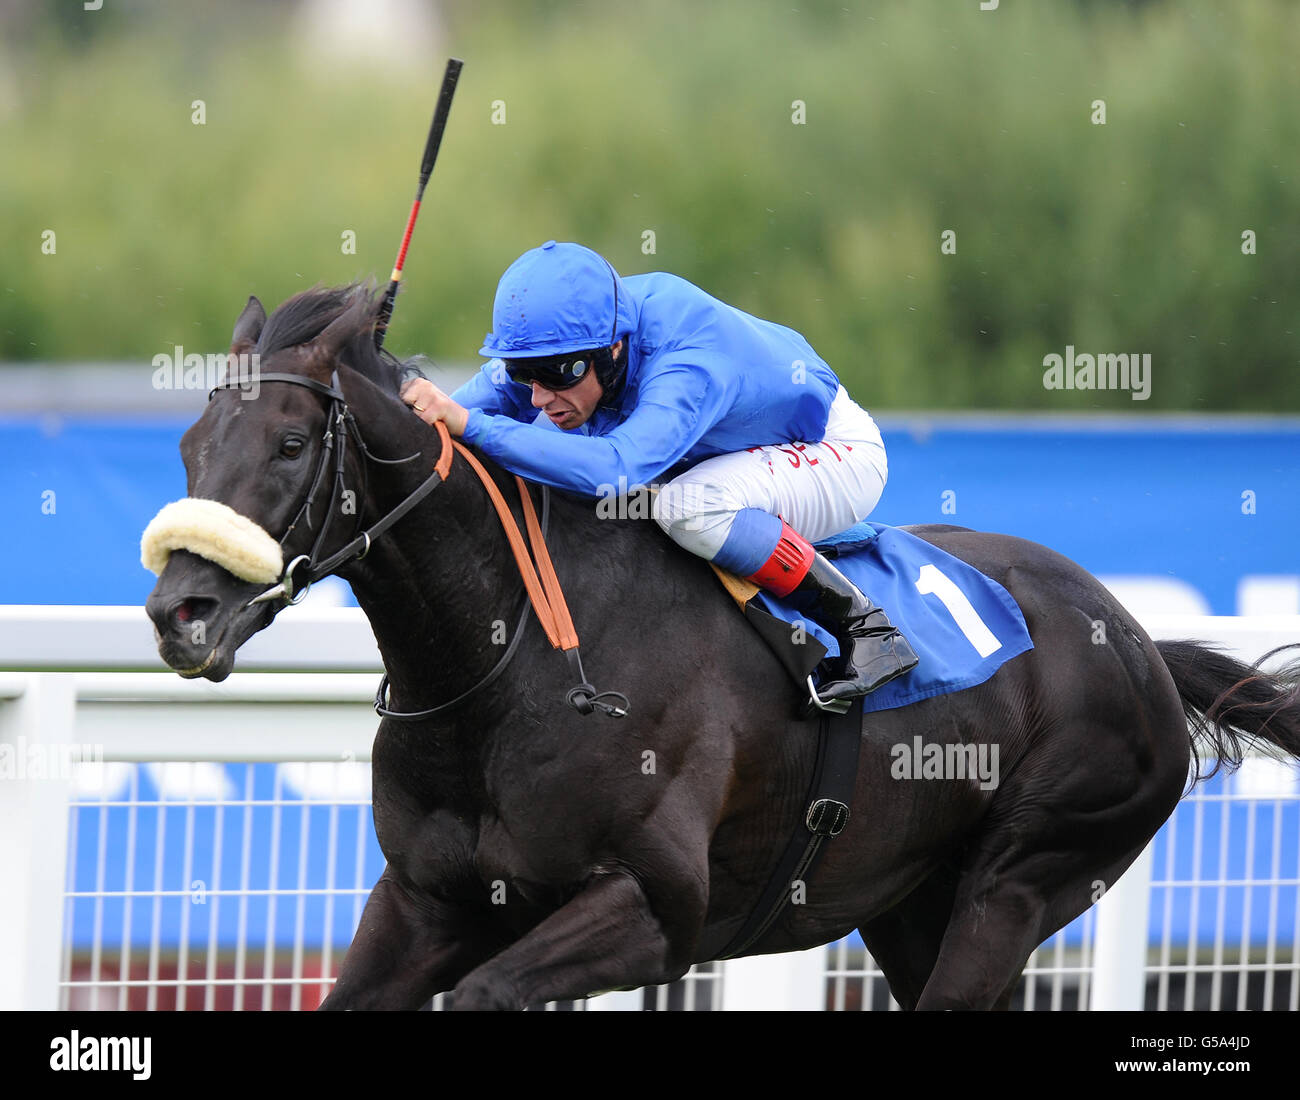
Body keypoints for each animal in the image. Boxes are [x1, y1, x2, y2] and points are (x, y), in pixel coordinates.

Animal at [143, 284, 1300, 1010]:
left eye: (292, 442)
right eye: (192, 446)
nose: (178, 612)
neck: (513, 667)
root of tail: (1133, 637)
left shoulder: (654, 909)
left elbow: (492, 988)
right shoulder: (427, 901)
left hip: (1028, 873)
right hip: (907, 897)